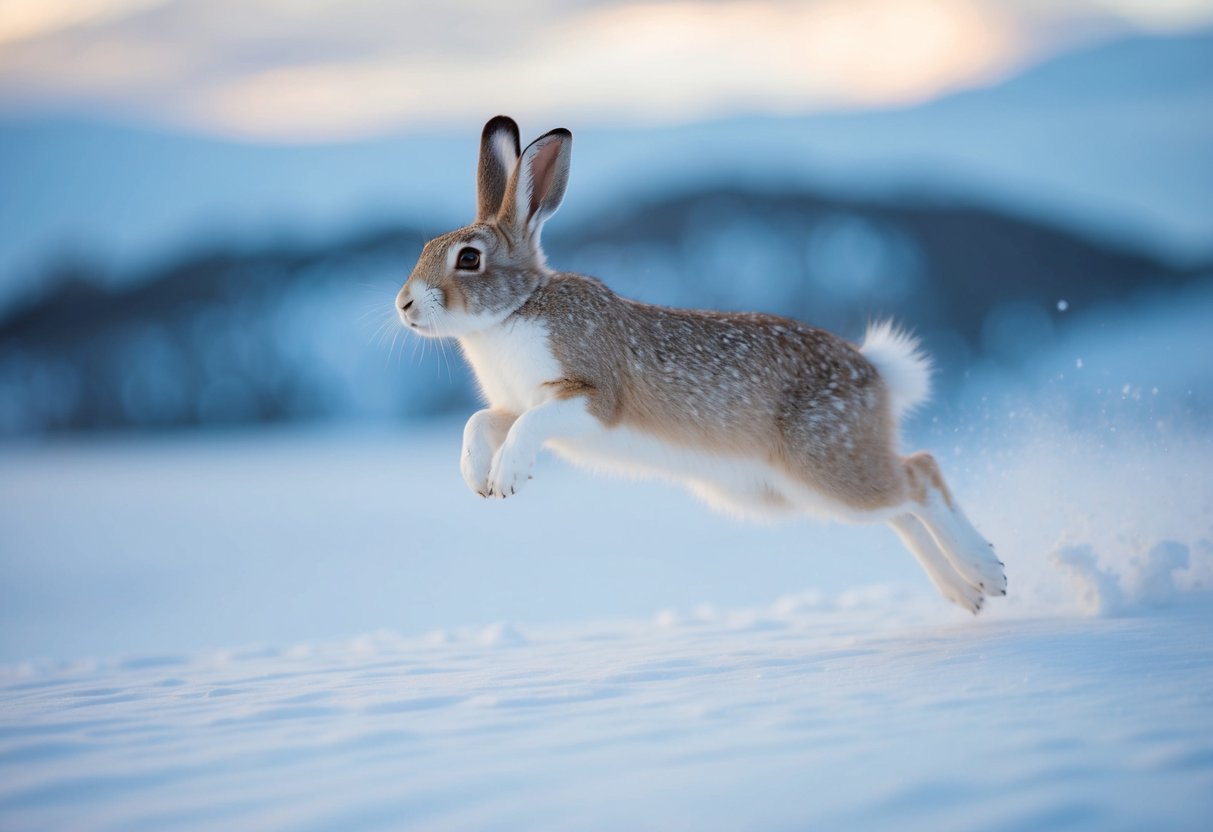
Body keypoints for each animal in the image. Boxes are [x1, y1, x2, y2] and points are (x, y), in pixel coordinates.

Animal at [395, 115, 1006, 613]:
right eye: (425, 248)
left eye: (468, 259)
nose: (403, 305)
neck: (517, 308)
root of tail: (876, 372)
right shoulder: (514, 402)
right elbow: (482, 421)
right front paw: (476, 476)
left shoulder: (590, 395)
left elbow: (532, 424)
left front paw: (507, 477)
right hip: (800, 490)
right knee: (901, 510)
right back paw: (963, 593)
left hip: (826, 461)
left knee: (921, 476)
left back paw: (988, 572)